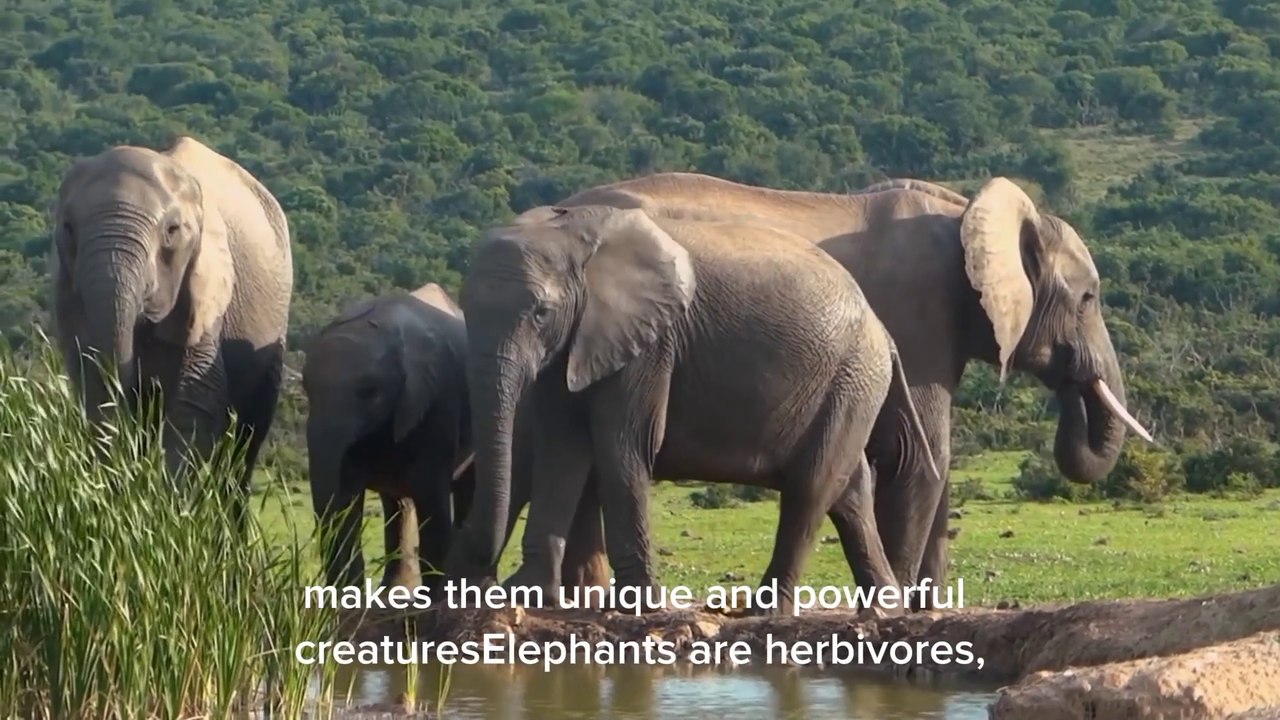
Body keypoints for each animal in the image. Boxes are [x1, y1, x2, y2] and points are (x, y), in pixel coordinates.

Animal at [50, 136, 293, 522]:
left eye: (172, 232)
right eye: (68, 228)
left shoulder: (207, 284)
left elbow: (193, 407)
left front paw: (168, 520)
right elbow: (95, 393)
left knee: (244, 444)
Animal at [301, 282, 475, 590]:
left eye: (370, 392)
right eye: (305, 386)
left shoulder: (438, 399)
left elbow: (431, 497)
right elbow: (345, 497)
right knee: (398, 504)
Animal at [446, 203, 940, 615]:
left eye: (541, 313)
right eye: (464, 306)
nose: (479, 574)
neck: (577, 231)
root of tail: (884, 333)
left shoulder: (651, 343)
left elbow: (622, 447)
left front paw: (640, 608)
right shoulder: (578, 344)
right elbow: (561, 449)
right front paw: (525, 597)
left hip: (852, 377)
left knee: (811, 485)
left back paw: (765, 613)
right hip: (850, 384)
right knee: (849, 490)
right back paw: (884, 612)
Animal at [548, 172, 1155, 607]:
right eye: (1089, 299)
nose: (1074, 384)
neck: (968, 210)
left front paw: (928, 610)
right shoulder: (919, 319)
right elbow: (918, 455)